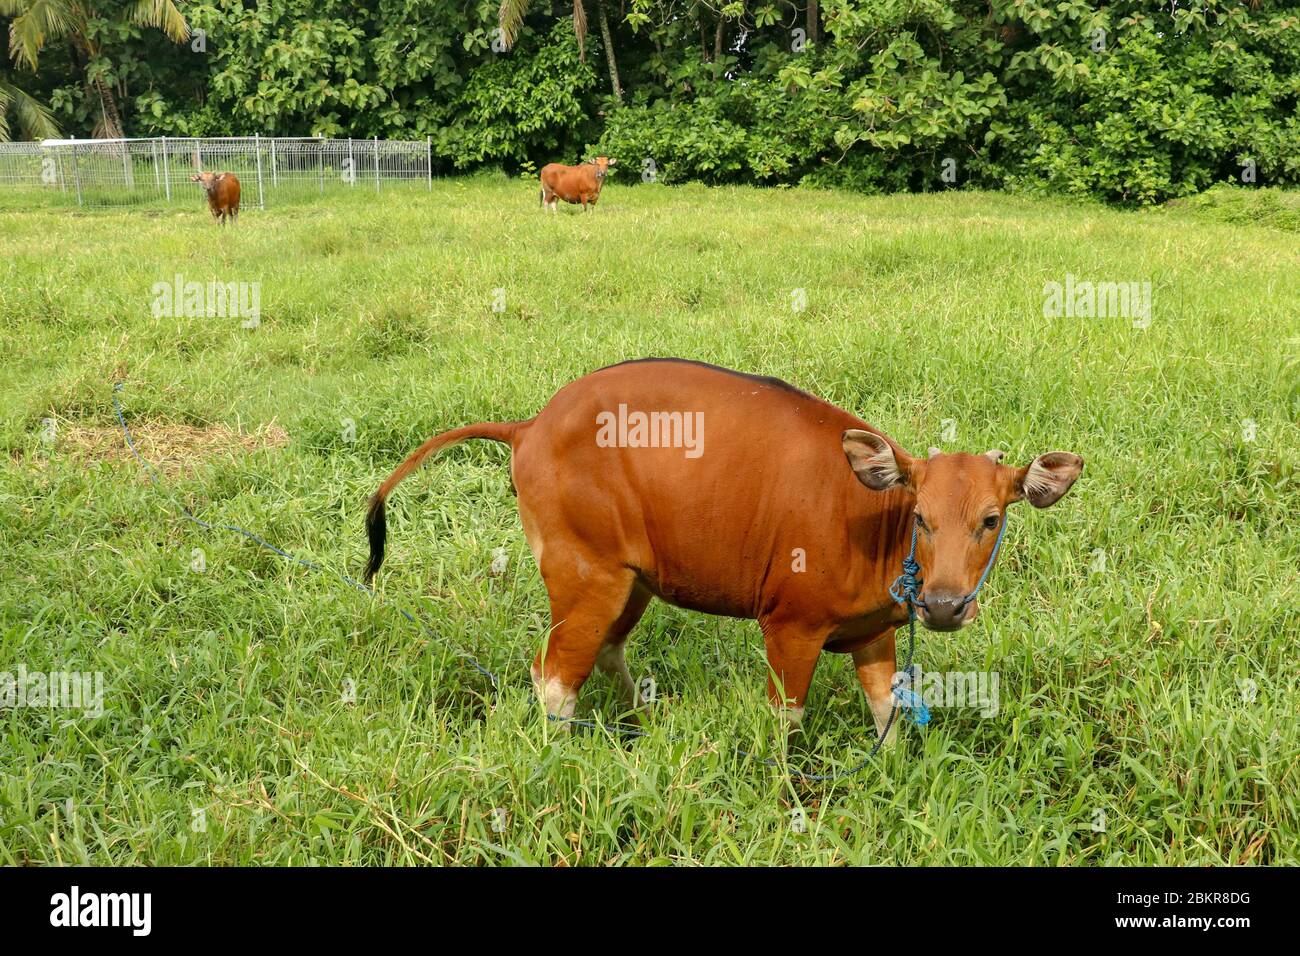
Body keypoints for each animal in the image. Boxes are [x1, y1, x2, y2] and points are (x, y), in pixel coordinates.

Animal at [364, 359, 1082, 742]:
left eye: (991, 518)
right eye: (923, 518)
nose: (944, 605)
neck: (871, 524)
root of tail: (530, 425)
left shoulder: (875, 633)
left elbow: (888, 714)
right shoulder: (790, 627)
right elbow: (785, 722)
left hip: (633, 579)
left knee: (606, 652)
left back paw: (643, 719)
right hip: (585, 575)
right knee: (555, 676)